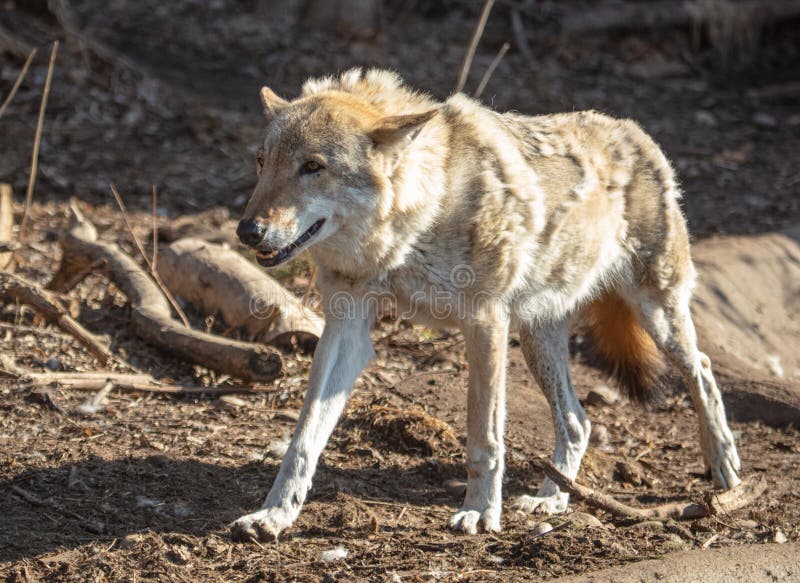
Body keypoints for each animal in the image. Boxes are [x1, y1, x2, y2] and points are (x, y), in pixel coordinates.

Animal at [230, 68, 741, 541]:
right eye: (262, 162)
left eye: (312, 166)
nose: (247, 231)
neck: (415, 220)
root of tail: (636, 132)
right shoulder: (346, 329)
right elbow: (304, 438)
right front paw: (274, 514)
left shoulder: (484, 324)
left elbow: (484, 439)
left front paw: (478, 512)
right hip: (538, 341)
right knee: (578, 422)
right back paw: (551, 500)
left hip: (656, 314)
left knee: (702, 371)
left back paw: (724, 470)